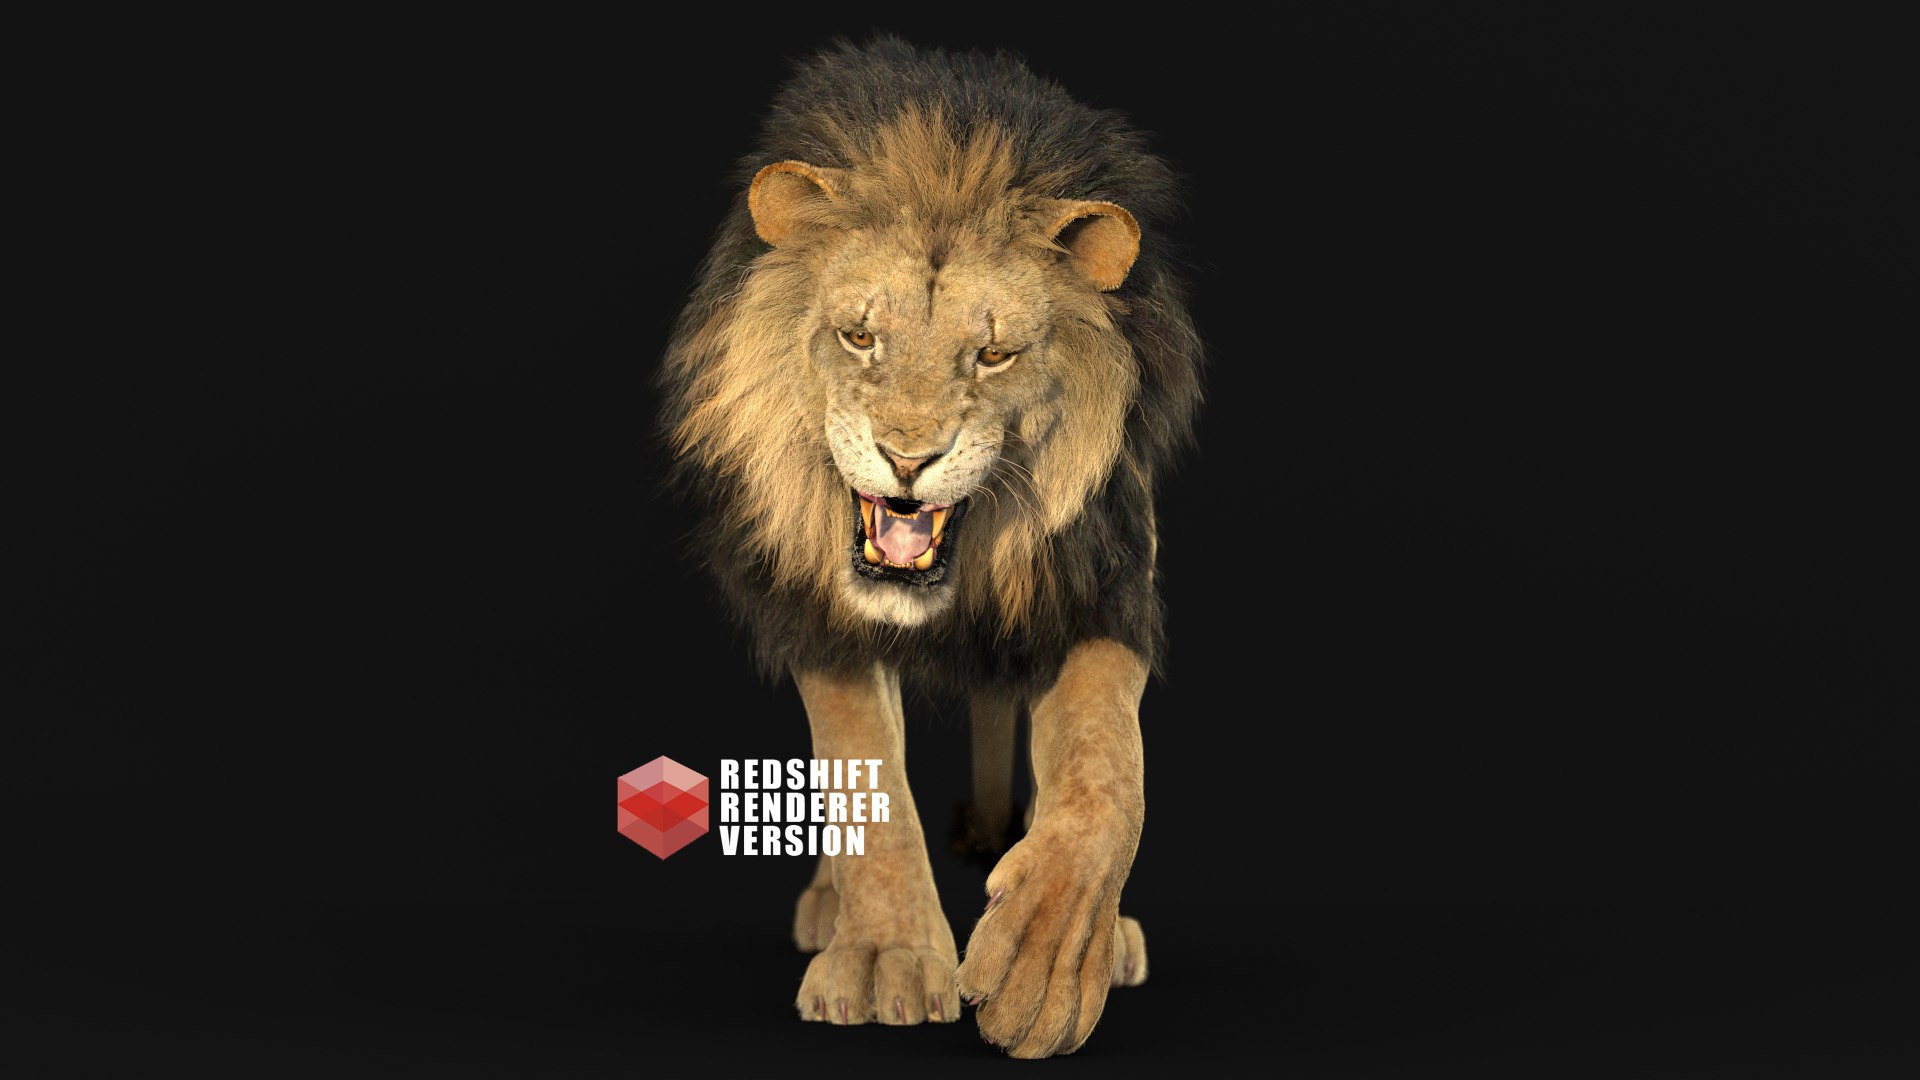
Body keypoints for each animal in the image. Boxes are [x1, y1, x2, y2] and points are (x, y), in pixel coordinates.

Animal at [657, 36, 1202, 1058]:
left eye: (993, 355)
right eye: (858, 337)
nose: (909, 459)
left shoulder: (1100, 577)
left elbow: (1107, 766)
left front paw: (1049, 954)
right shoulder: (823, 610)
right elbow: (864, 762)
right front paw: (884, 958)